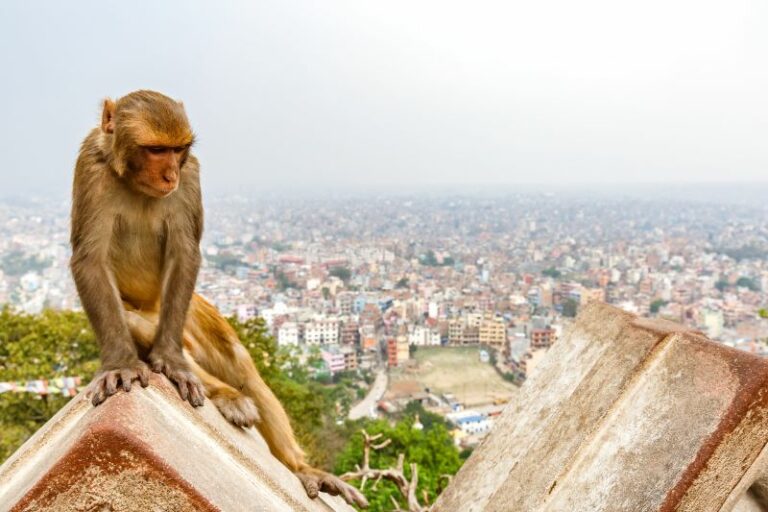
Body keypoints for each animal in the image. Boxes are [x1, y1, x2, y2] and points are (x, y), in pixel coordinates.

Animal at [70, 90, 368, 508]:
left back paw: (299, 467)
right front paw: (121, 364)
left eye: (177, 150)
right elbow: (90, 258)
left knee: (238, 360)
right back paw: (222, 392)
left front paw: (171, 360)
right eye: (155, 149)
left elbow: (184, 251)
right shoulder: (91, 166)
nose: (170, 175)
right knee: (134, 321)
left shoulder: (192, 174)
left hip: (189, 311)